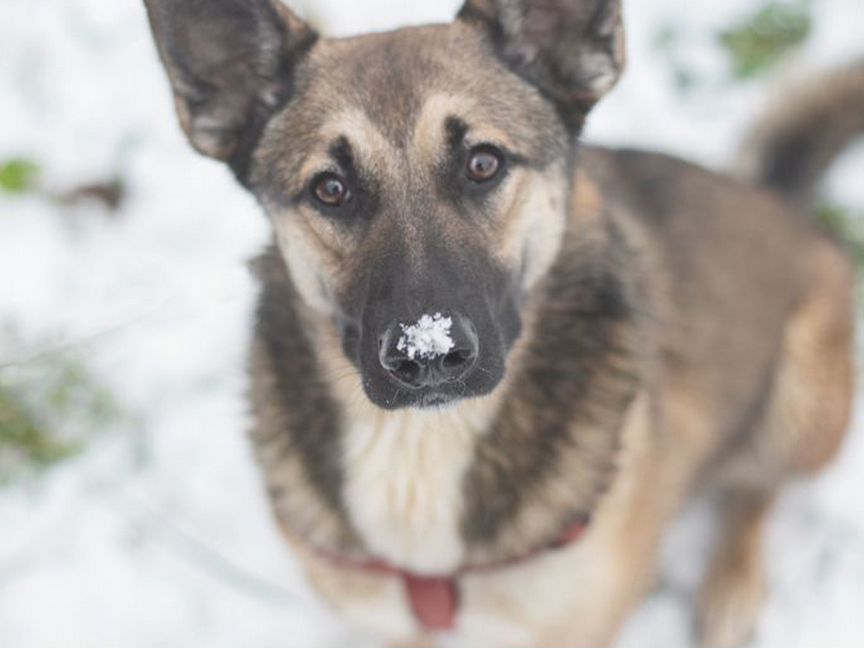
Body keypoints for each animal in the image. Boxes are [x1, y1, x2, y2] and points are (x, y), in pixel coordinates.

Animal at [143, 1, 864, 648]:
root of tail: (773, 198)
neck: (421, 449)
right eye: (330, 189)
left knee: (756, 491)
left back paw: (731, 587)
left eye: (483, 163)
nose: (426, 355)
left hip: (800, 405)